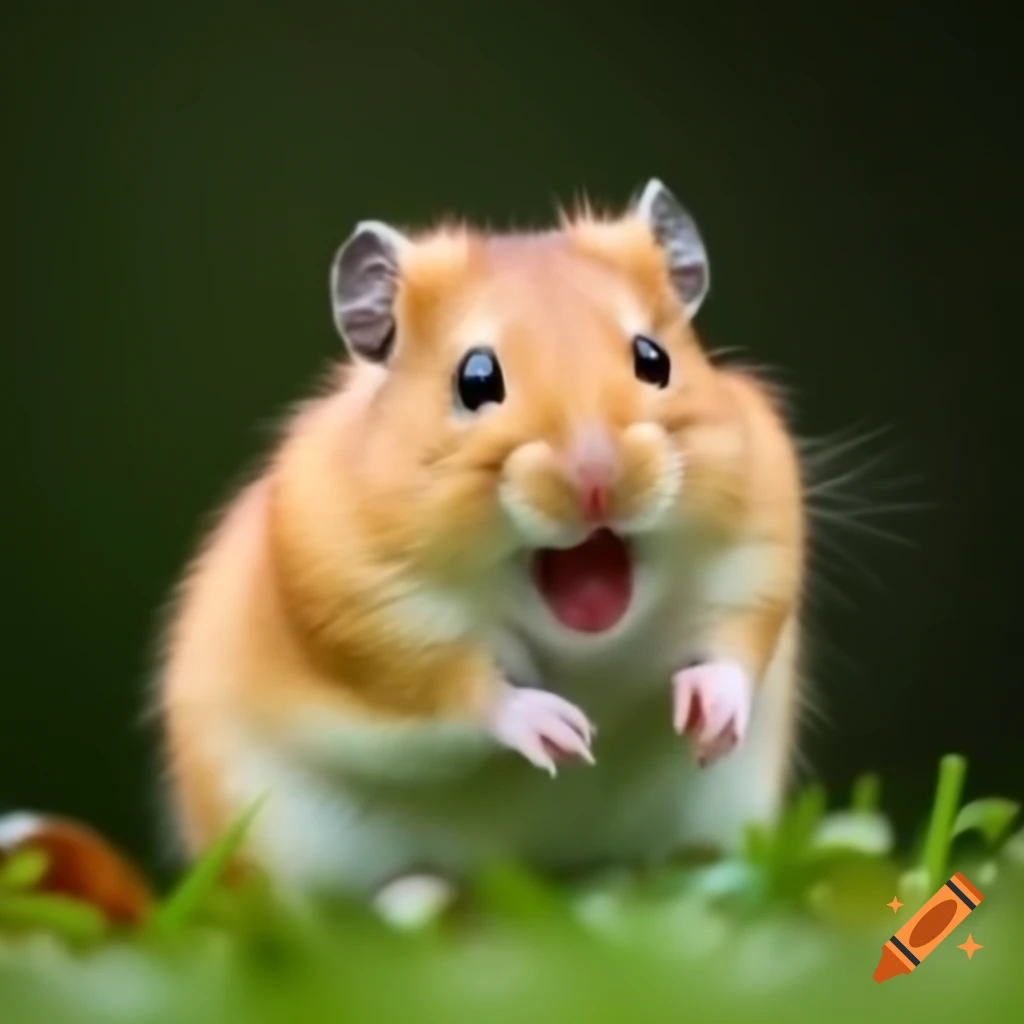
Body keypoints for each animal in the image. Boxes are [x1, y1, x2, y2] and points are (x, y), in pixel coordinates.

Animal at [156, 179, 805, 902]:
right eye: (475, 379)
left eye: (653, 359)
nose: (597, 480)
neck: (586, 645)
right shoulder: (371, 626)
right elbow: (467, 690)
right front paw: (567, 736)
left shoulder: (759, 551)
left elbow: (733, 648)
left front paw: (707, 723)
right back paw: (418, 893)